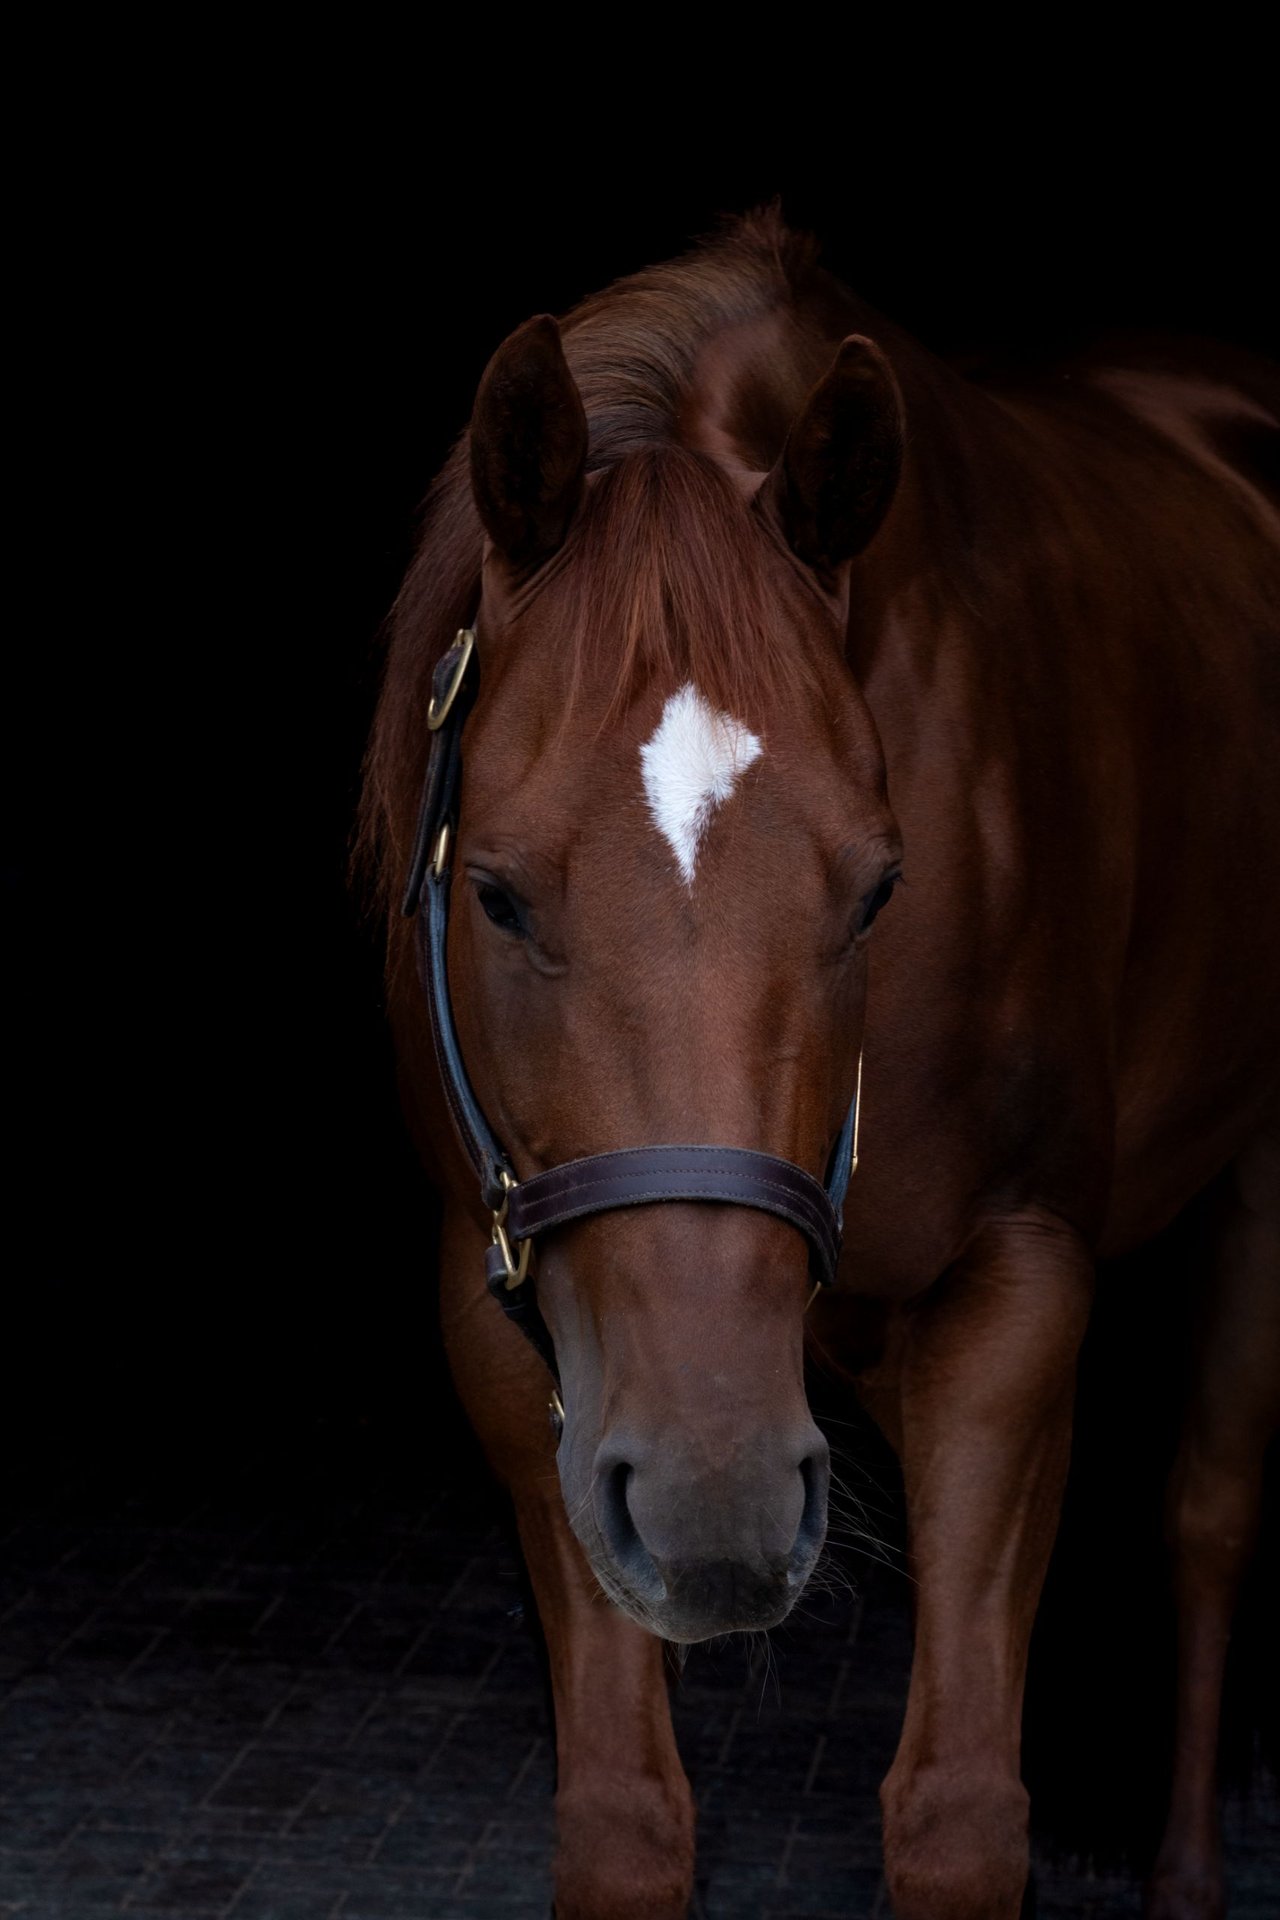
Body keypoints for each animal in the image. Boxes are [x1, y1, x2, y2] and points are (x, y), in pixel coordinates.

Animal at [357, 208, 1280, 1920]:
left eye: (876, 888)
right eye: (495, 893)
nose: (716, 1502)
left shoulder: (1016, 1286)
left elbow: (961, 1808)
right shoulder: (500, 1305)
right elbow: (624, 1819)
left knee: (1210, 1506)